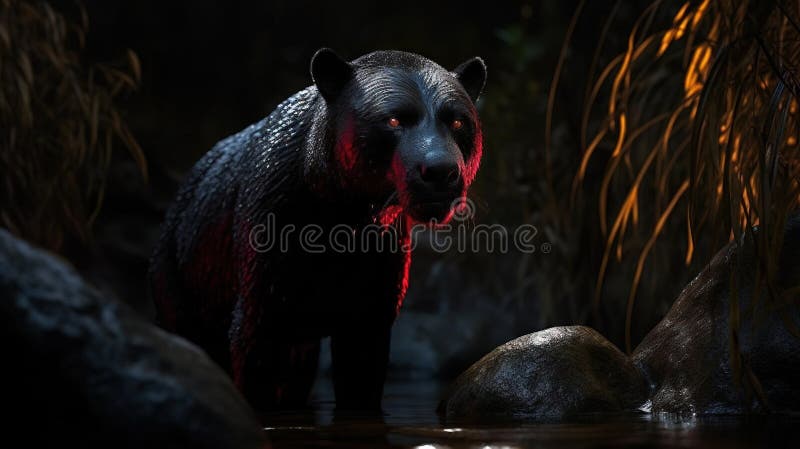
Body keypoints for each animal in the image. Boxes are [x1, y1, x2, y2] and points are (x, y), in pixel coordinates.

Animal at [148, 48, 486, 411]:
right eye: (394, 120)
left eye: (457, 122)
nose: (440, 171)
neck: (342, 222)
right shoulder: (259, 314)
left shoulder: (369, 318)